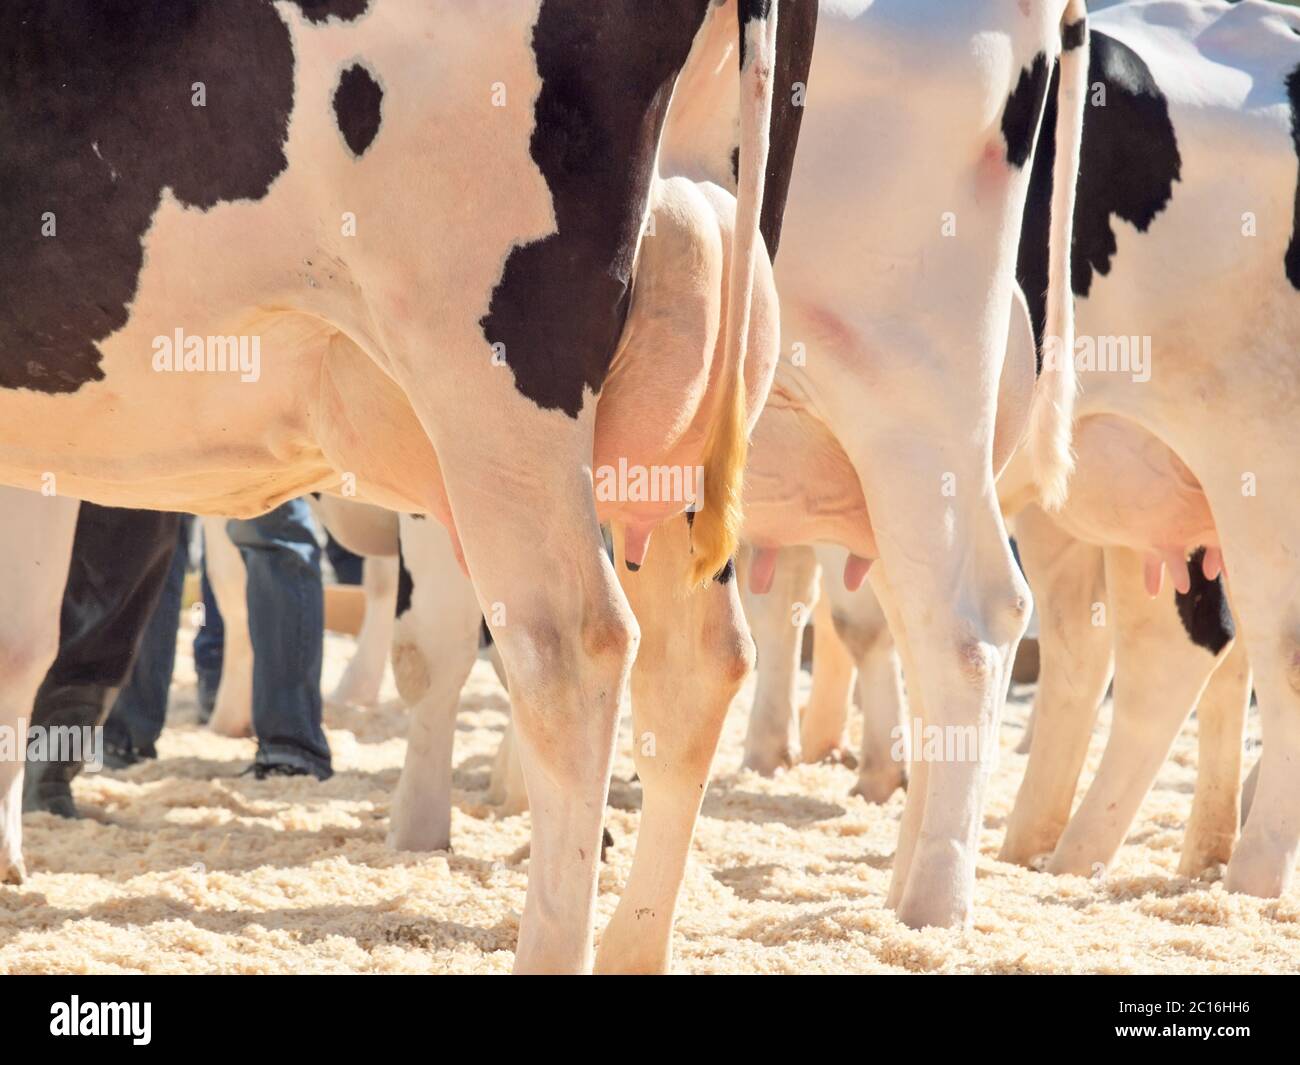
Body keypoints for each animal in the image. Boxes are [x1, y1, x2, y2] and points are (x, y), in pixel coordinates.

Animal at [0, 0, 805, 974]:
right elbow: (19, 643)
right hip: (690, 408)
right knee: (699, 665)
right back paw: (632, 945)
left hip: (490, 380)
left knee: (573, 649)